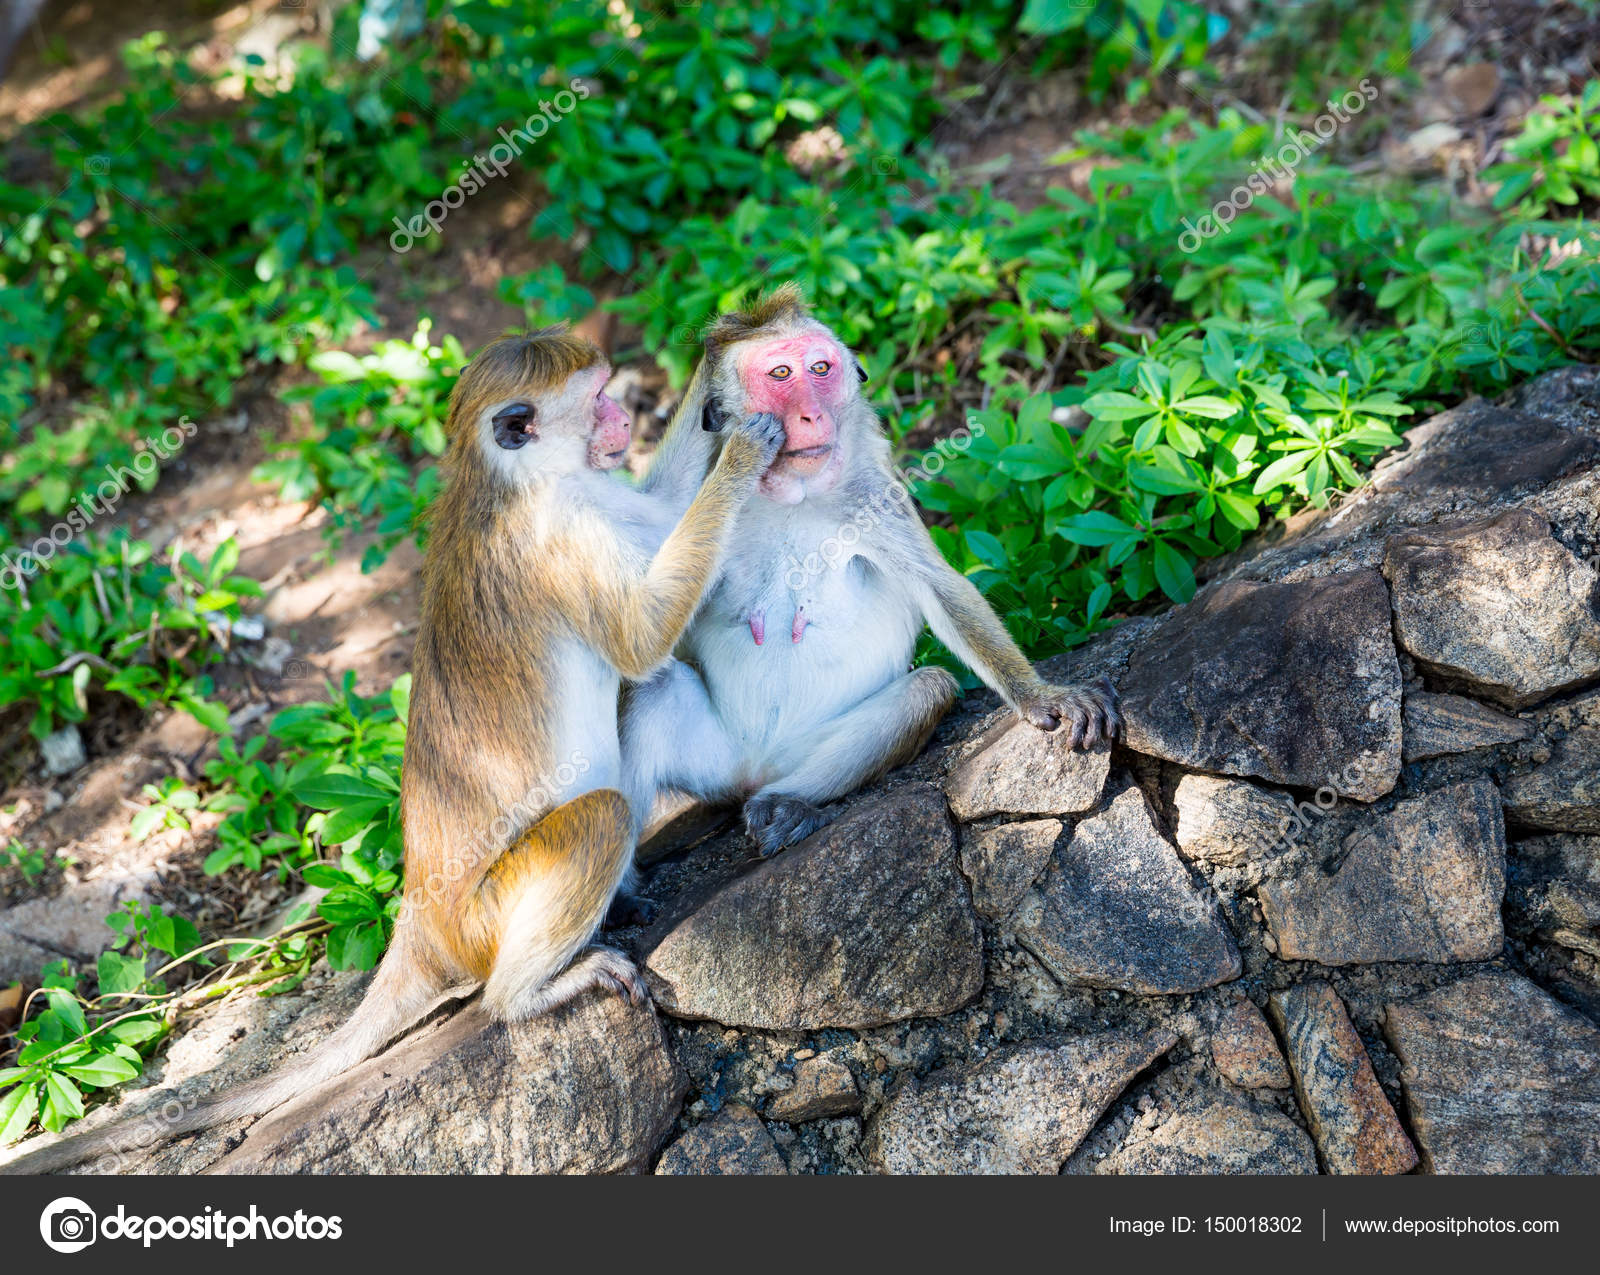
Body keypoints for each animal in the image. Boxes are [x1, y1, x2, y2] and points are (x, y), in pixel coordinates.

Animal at [1, 328, 782, 1174]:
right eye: (599, 396)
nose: (621, 418)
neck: (514, 482)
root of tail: (420, 922)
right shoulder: (565, 533)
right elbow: (641, 641)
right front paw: (743, 452)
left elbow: (664, 514)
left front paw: (725, 346)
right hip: (485, 919)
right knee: (598, 817)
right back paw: (529, 993)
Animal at [622, 284, 1120, 856]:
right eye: (780, 374)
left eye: (820, 368)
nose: (813, 417)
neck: (795, 494)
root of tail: (751, 769)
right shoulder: (687, 507)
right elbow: (641, 624)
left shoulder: (874, 496)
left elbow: (939, 589)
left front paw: (1042, 695)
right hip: (713, 755)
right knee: (648, 690)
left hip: (803, 750)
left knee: (926, 691)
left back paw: (787, 803)